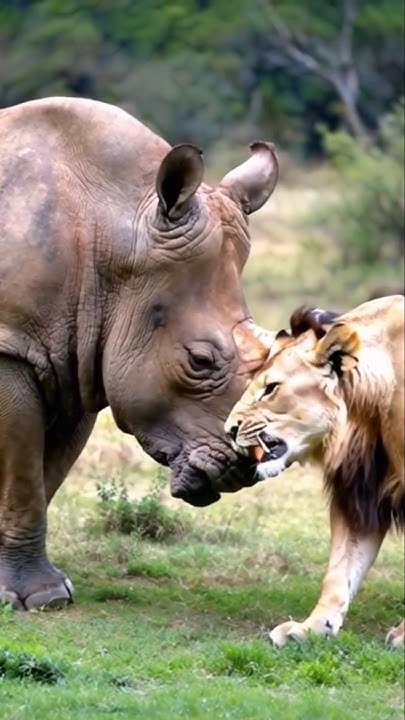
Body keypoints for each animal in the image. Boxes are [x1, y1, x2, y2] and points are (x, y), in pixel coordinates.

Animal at [0, 97, 278, 610]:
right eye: (199, 362)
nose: (245, 466)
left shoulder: (77, 357)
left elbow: (46, 473)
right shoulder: (12, 344)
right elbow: (24, 475)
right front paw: (42, 599)